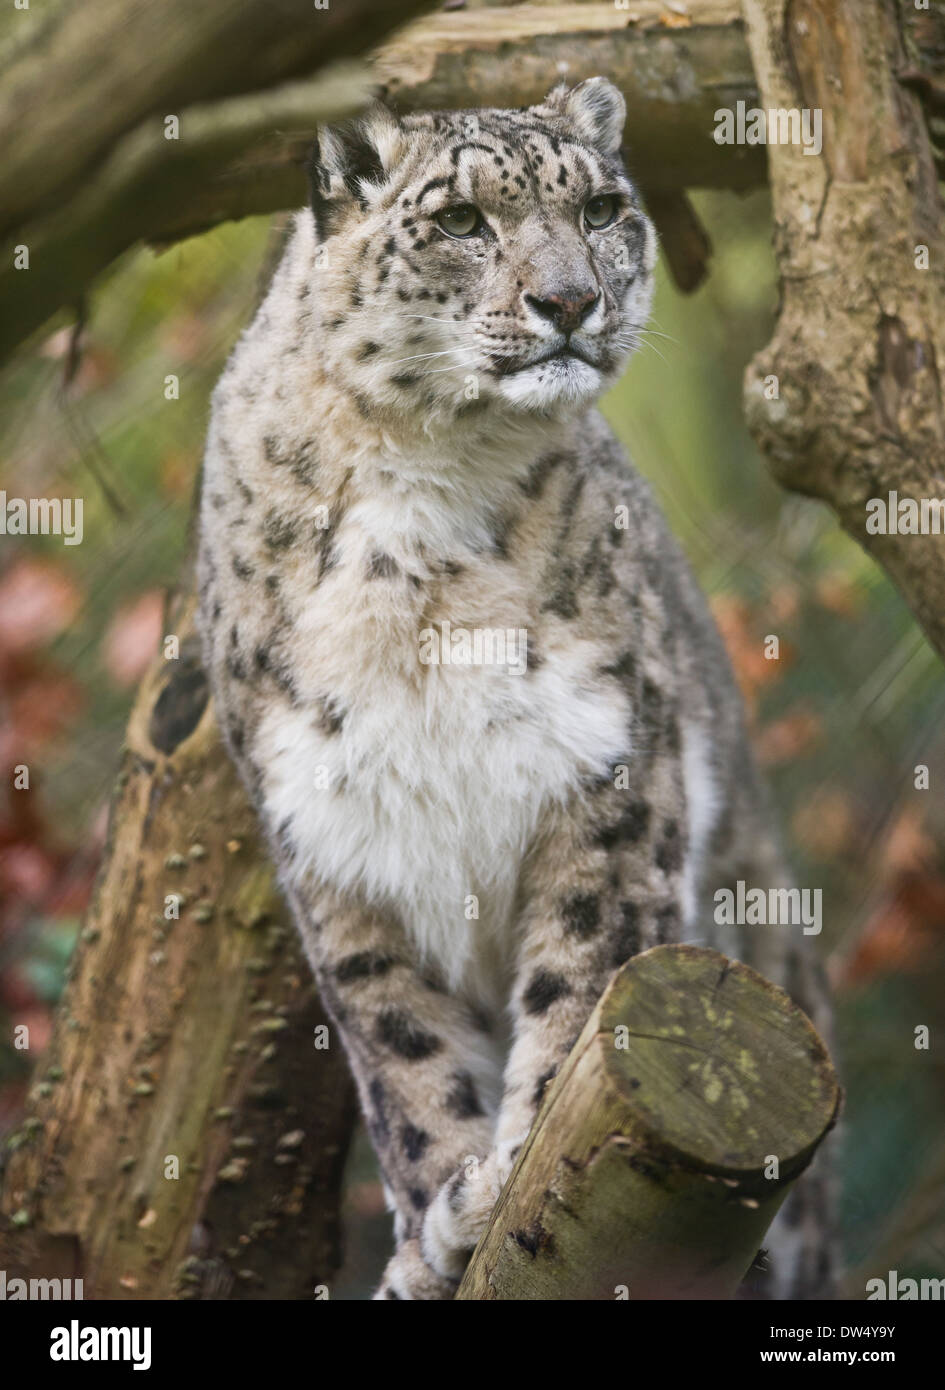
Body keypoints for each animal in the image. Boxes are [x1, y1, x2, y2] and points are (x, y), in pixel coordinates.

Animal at [196, 77, 835, 1300]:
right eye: (458, 220)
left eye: (599, 207)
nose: (570, 301)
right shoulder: (335, 847)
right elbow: (399, 1050)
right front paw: (439, 1223)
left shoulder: (609, 776)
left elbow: (583, 977)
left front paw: (523, 1159)